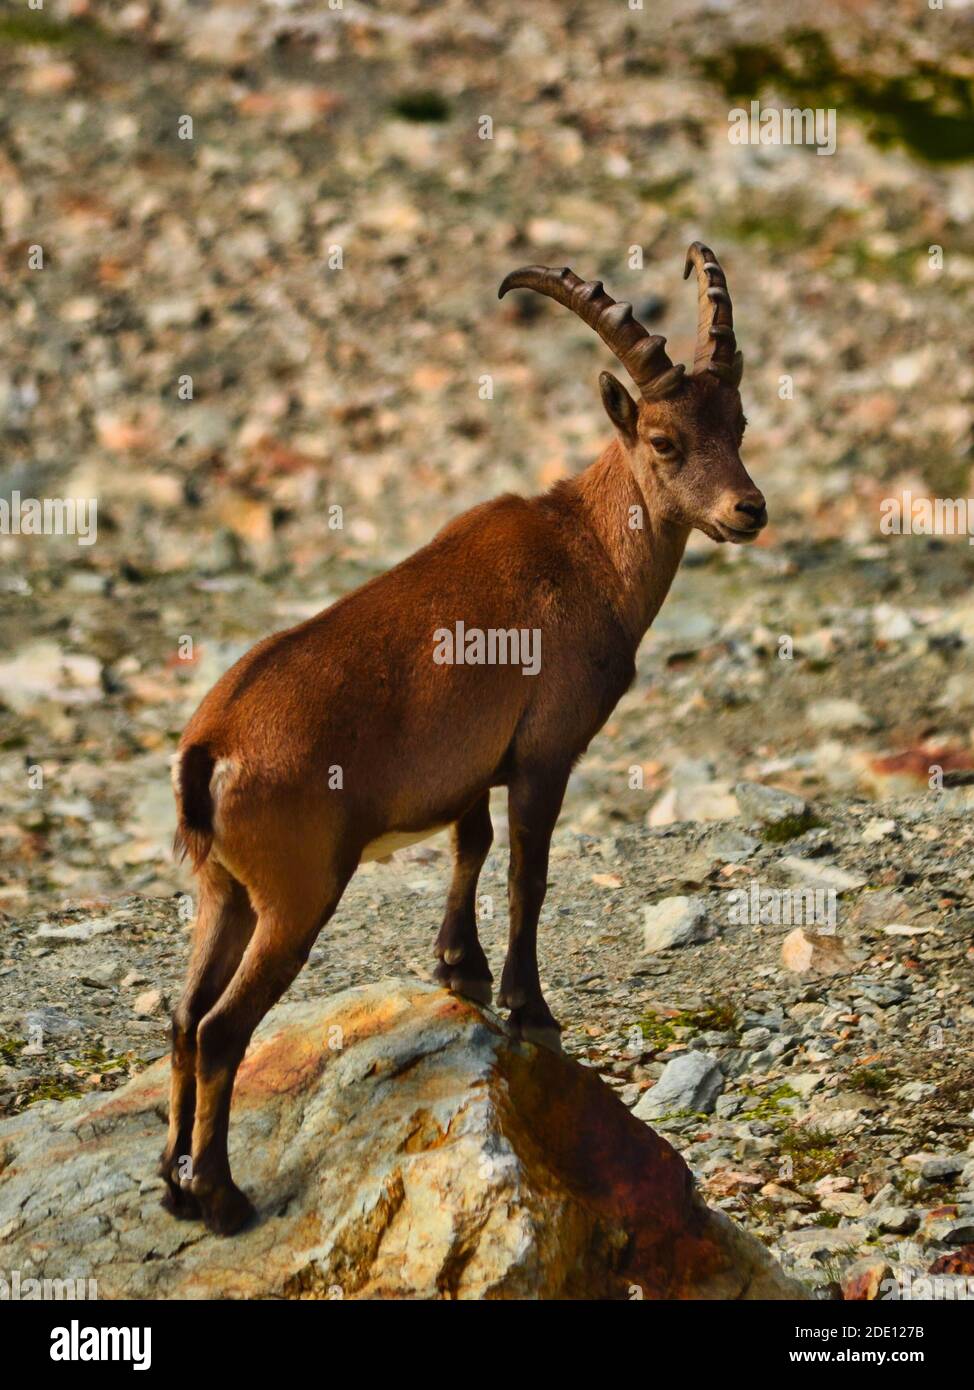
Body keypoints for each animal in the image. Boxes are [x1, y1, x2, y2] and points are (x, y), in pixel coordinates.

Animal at [162, 243, 767, 1234]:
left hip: (224, 890)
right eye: (665, 440)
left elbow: (470, 844)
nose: (748, 510)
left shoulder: (474, 767)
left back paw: (173, 1185)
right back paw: (221, 1196)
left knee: (183, 1018)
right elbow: (527, 872)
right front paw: (530, 1007)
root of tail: (209, 750)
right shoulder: (546, 752)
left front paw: (461, 971)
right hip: (296, 894)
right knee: (220, 1029)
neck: (587, 548)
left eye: (742, 423)